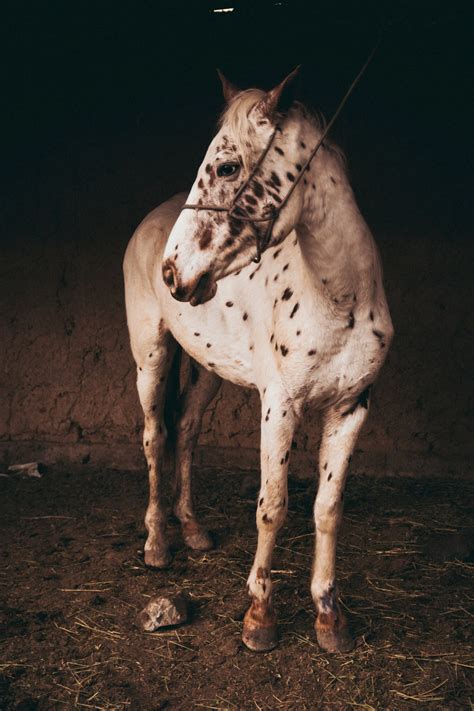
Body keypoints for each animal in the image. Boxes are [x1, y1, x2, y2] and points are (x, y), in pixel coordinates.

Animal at [123, 68, 393, 653]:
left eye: (227, 166)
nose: (173, 272)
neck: (339, 299)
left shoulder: (351, 410)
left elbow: (327, 509)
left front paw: (329, 617)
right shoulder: (280, 408)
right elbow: (272, 508)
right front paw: (260, 617)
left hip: (207, 369)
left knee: (186, 428)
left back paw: (193, 530)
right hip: (151, 355)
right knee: (156, 435)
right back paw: (158, 544)